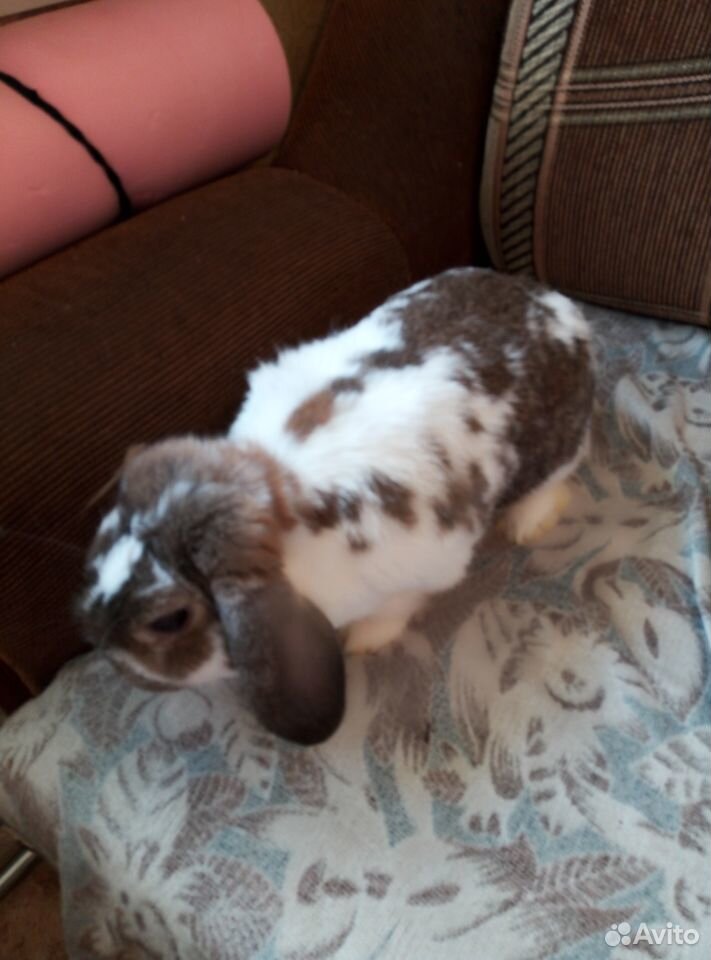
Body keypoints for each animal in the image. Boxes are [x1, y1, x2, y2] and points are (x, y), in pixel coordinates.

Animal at [78, 267, 594, 744]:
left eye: (169, 621)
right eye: (103, 537)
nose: (92, 636)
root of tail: (560, 308)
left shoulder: (422, 567)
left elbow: (394, 609)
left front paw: (363, 641)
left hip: (555, 451)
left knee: (557, 480)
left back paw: (527, 523)